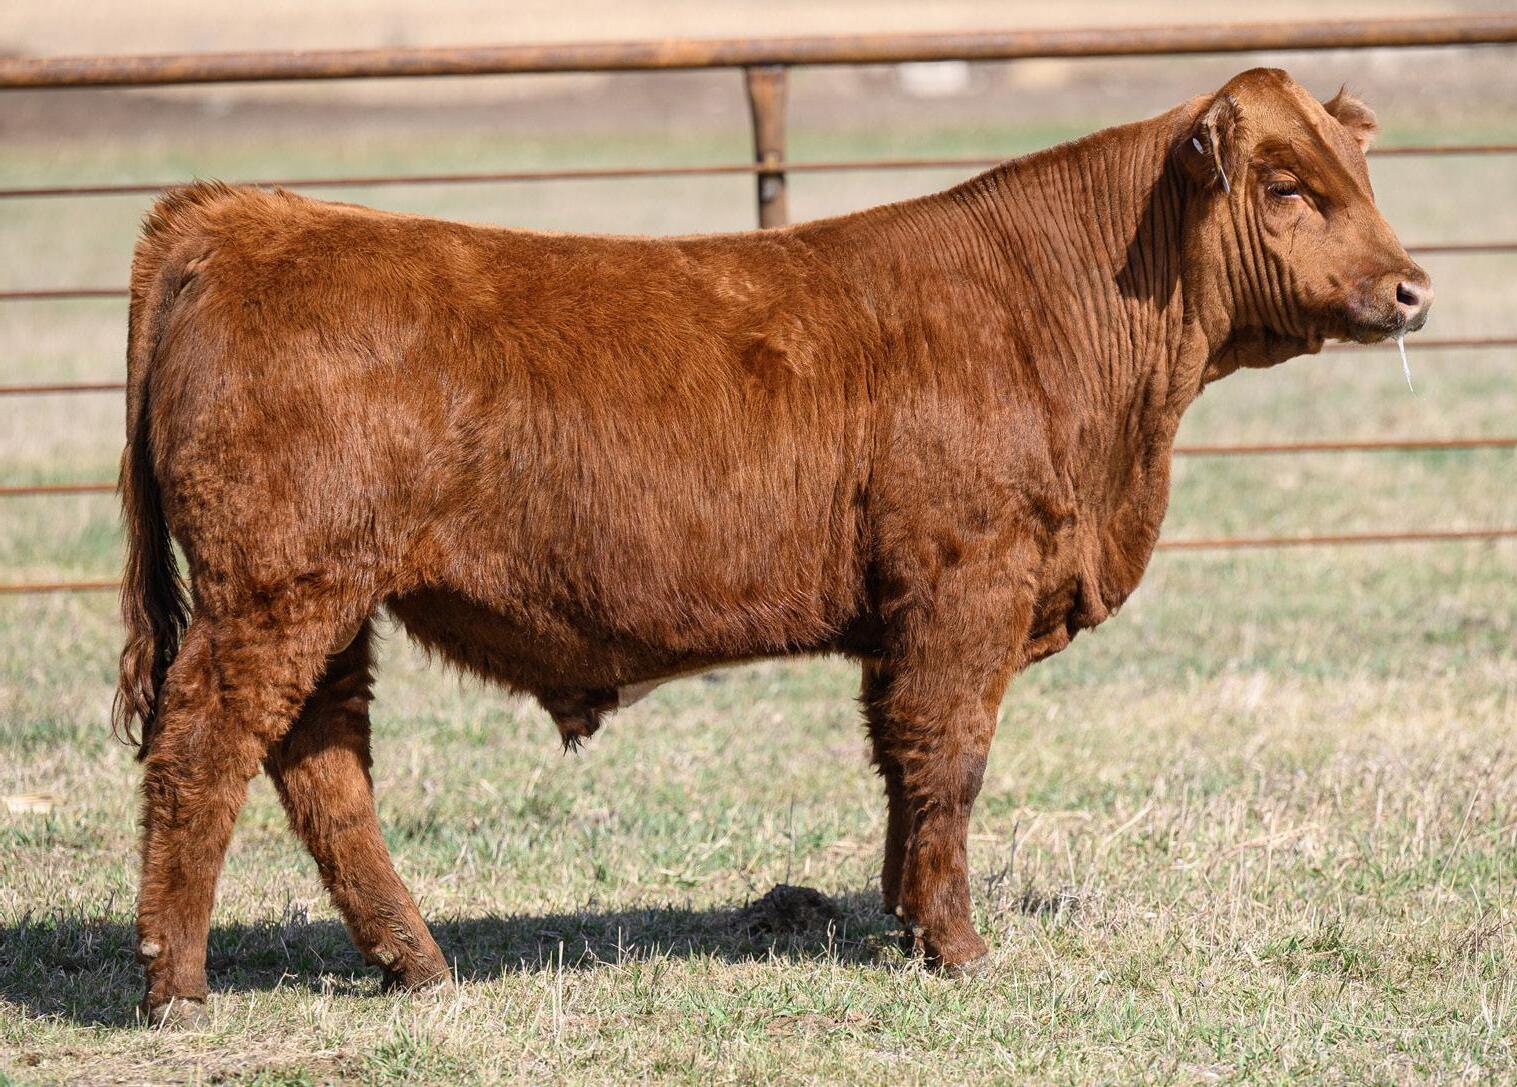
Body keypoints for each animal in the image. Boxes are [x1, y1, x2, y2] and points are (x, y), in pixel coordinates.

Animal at [114, 67, 1431, 1025]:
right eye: (1284, 186)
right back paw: (177, 990)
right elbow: (949, 759)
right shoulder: (966, 585)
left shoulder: (902, 617)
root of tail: (248, 214)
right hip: (274, 592)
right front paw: (957, 947)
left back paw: (417, 964)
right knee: (201, 755)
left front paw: (904, 926)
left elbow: (901, 763)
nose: (1410, 287)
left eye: (1359, 171)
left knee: (320, 769)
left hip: (327, 604)